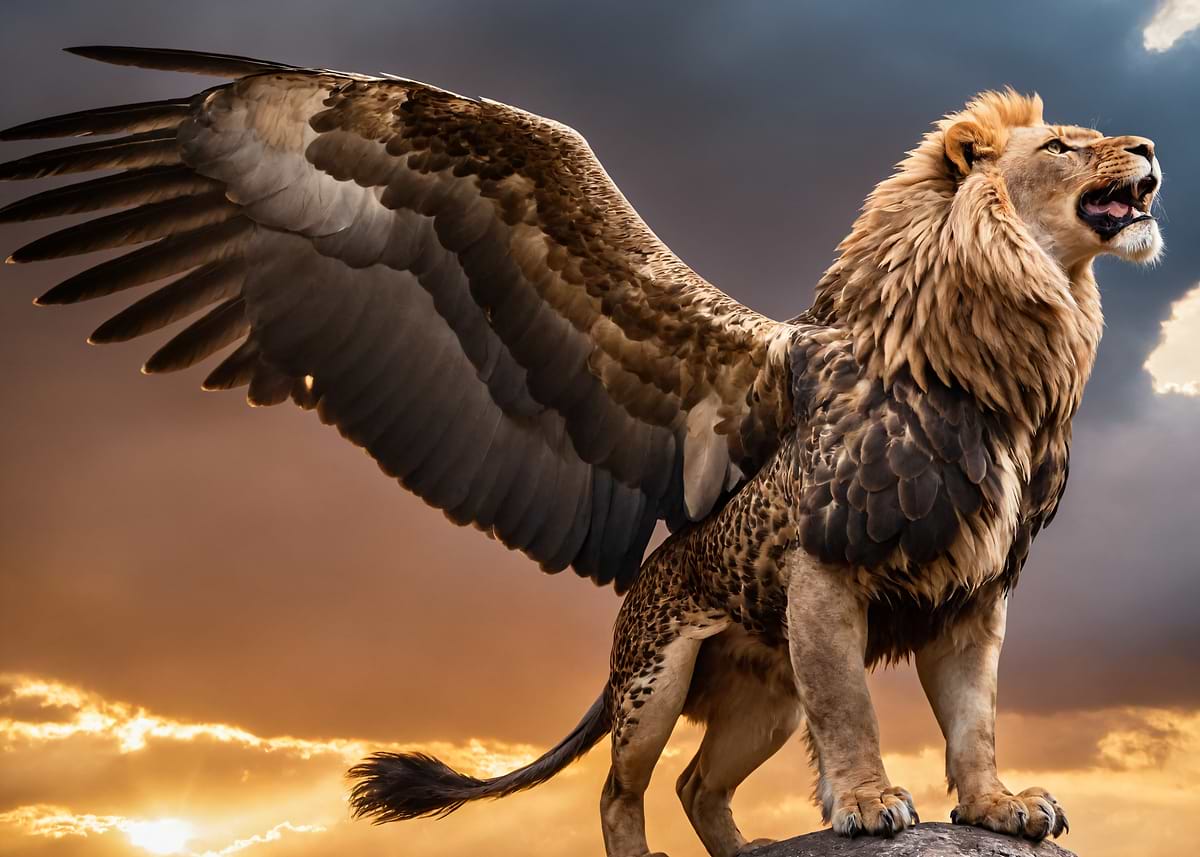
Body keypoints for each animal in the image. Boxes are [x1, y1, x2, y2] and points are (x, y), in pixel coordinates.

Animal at [0, 48, 1161, 857]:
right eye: (1064, 145)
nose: (1150, 151)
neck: (1007, 346)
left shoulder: (976, 588)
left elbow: (973, 718)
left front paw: (1000, 805)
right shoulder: (827, 573)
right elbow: (855, 713)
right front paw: (873, 803)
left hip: (760, 690)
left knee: (700, 785)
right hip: (655, 677)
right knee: (622, 788)